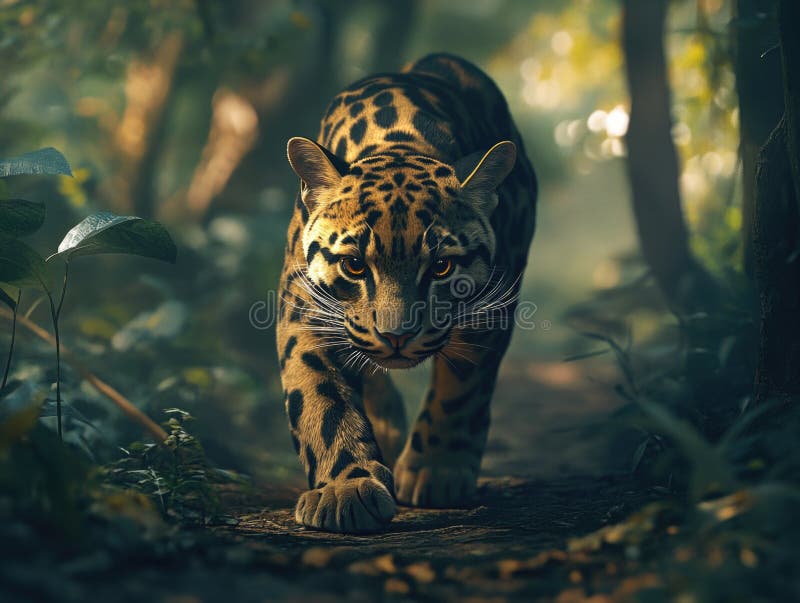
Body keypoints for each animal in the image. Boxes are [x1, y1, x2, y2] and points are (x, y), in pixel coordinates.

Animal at [276, 53, 537, 533]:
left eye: (441, 267)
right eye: (354, 265)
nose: (397, 337)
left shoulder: (490, 311)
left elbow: (461, 389)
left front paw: (439, 471)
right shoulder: (303, 312)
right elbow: (321, 399)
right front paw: (345, 488)